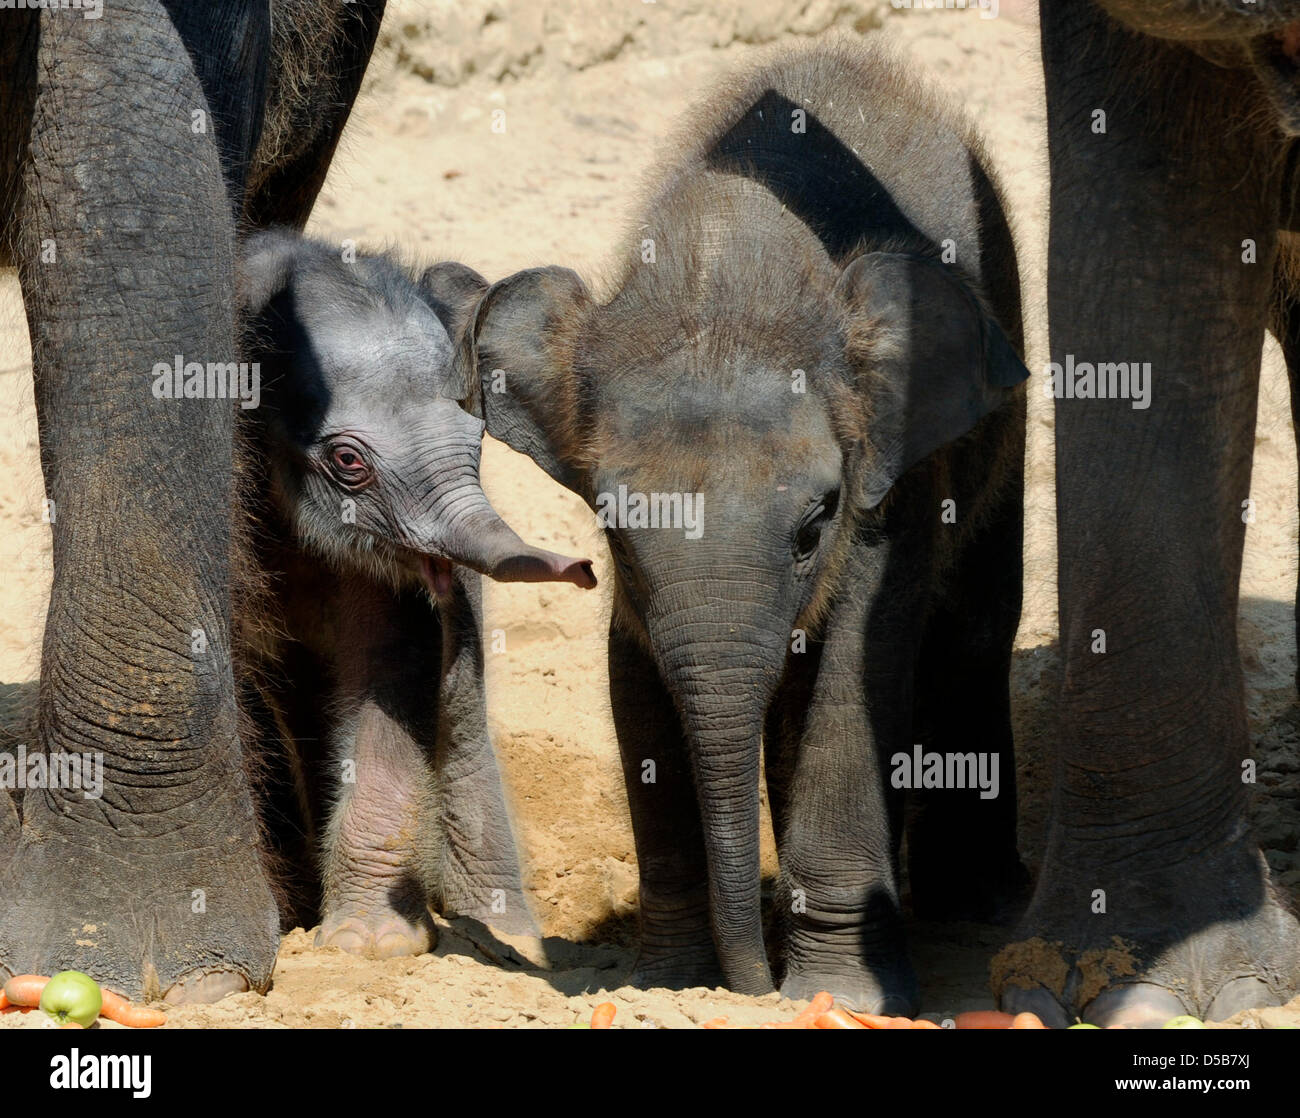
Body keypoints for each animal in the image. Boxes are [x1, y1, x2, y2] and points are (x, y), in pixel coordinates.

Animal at [236, 230, 595, 957]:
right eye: (348, 462)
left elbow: (389, 668)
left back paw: (506, 938)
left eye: (476, 438)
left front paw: (370, 948)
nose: (584, 567)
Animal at [460, 40, 1031, 1011]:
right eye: (614, 533)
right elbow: (635, 685)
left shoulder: (894, 490)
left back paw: (977, 904)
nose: (752, 987)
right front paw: (673, 983)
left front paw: (842, 994)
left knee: (974, 627)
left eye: (815, 524)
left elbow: (856, 672)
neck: (728, 263)